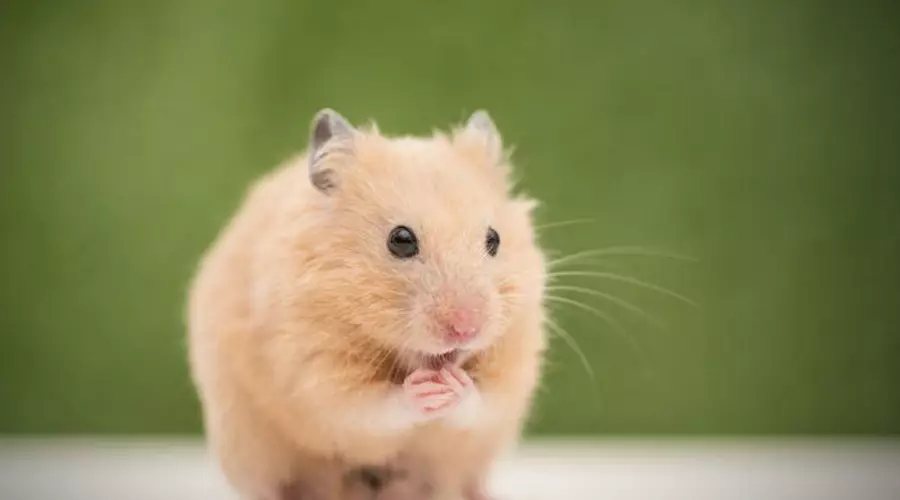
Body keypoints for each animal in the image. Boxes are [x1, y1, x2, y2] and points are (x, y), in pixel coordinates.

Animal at [185, 108, 548, 500]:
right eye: (400, 240)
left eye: (493, 239)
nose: (466, 329)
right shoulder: (316, 374)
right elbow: (373, 408)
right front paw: (424, 388)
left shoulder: (514, 367)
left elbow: (482, 403)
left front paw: (454, 385)